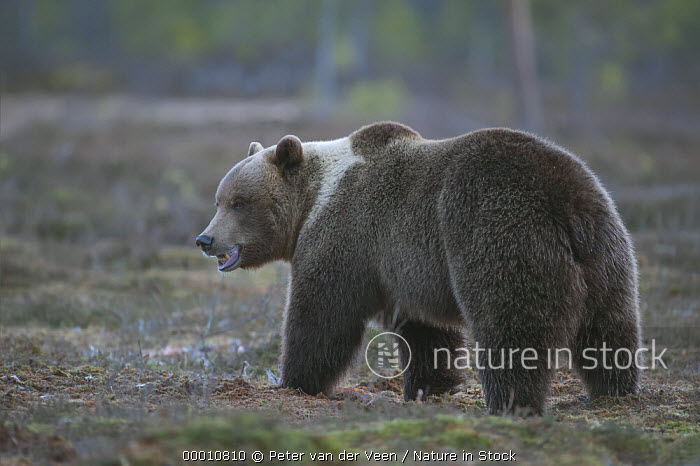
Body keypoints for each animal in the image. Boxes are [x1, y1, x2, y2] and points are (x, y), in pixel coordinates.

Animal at [196, 122, 641, 415]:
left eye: (239, 201)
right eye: (219, 199)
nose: (205, 239)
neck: (314, 200)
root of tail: (566, 200)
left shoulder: (348, 236)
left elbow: (322, 314)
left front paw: (295, 381)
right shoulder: (407, 268)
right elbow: (426, 332)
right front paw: (429, 387)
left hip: (498, 229)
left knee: (511, 324)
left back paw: (510, 401)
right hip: (606, 251)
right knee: (609, 325)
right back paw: (613, 389)